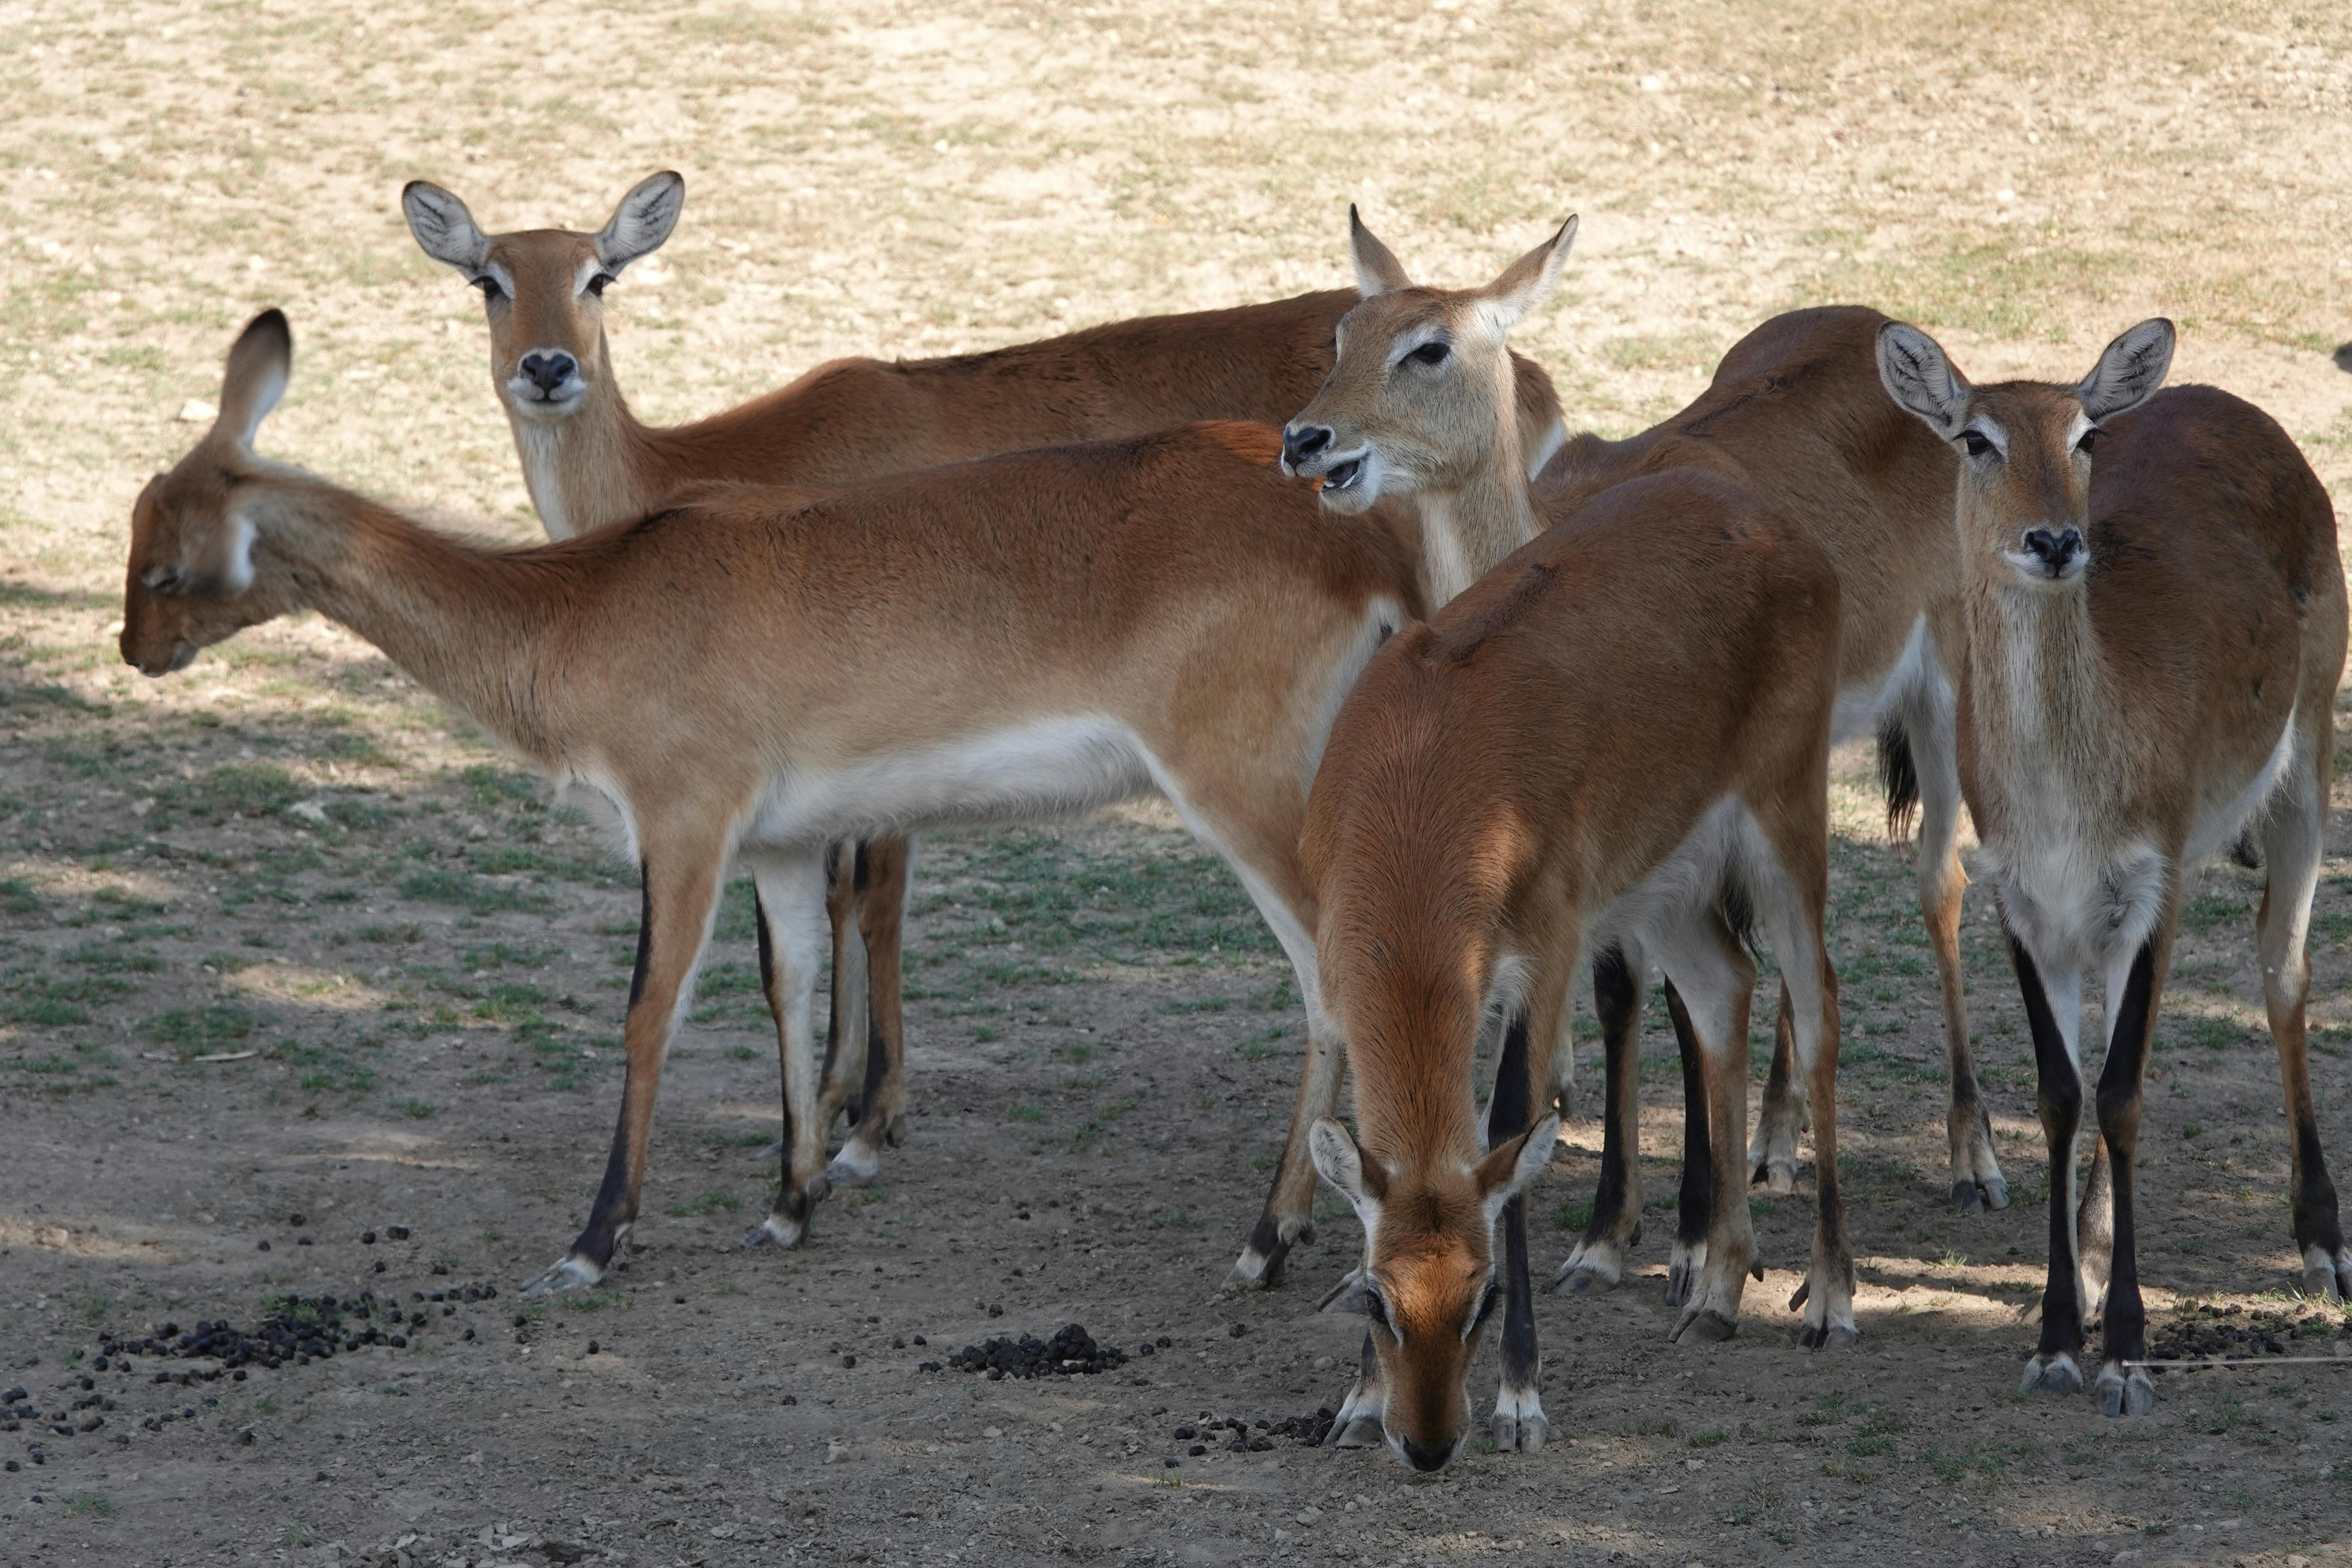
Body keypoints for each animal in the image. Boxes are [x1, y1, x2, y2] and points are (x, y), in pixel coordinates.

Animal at [124, 310, 1425, 1298]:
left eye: (166, 561)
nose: (135, 649)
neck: (580, 607)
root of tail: (1368, 554)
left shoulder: (683, 825)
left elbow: (648, 1013)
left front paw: (594, 1244)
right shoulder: (785, 845)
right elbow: (790, 987)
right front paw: (792, 1201)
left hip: (1240, 796)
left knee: (1333, 981)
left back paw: (1270, 1243)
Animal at [403, 172, 1565, 1219]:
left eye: (598, 275)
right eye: (487, 278)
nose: (547, 368)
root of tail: (1529, 379)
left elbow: (867, 900)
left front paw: (858, 1127)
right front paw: (836, 1121)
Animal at [1280, 213, 1995, 1312]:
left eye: (1428, 346)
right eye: (1342, 334)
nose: (1307, 440)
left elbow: (1678, 999)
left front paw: (1690, 1240)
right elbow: (1626, 993)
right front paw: (1614, 1233)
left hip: (1938, 693)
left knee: (1937, 884)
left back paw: (1970, 1159)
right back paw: (1773, 1145)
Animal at [1302, 462, 1848, 1469]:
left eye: (1482, 1296)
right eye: (1376, 1297)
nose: (1429, 1445)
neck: (1418, 790)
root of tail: (1768, 518)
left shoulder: (1546, 950)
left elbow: (1514, 1121)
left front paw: (1521, 1399)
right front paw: (1357, 1402)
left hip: (1784, 818)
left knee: (1818, 1000)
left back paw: (1829, 1300)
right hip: (1664, 878)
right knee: (1723, 988)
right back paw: (1714, 1296)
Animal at [1877, 319, 2351, 1415]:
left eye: (2084, 434)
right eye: (1974, 437)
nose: (2054, 542)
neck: (2067, 799)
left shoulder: (2152, 880)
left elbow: (2125, 1089)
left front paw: (2129, 1354)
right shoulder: (2024, 900)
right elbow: (2062, 1089)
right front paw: (2056, 1338)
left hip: (2309, 747)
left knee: (2283, 968)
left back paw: (2321, 1244)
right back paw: (2092, 1259)